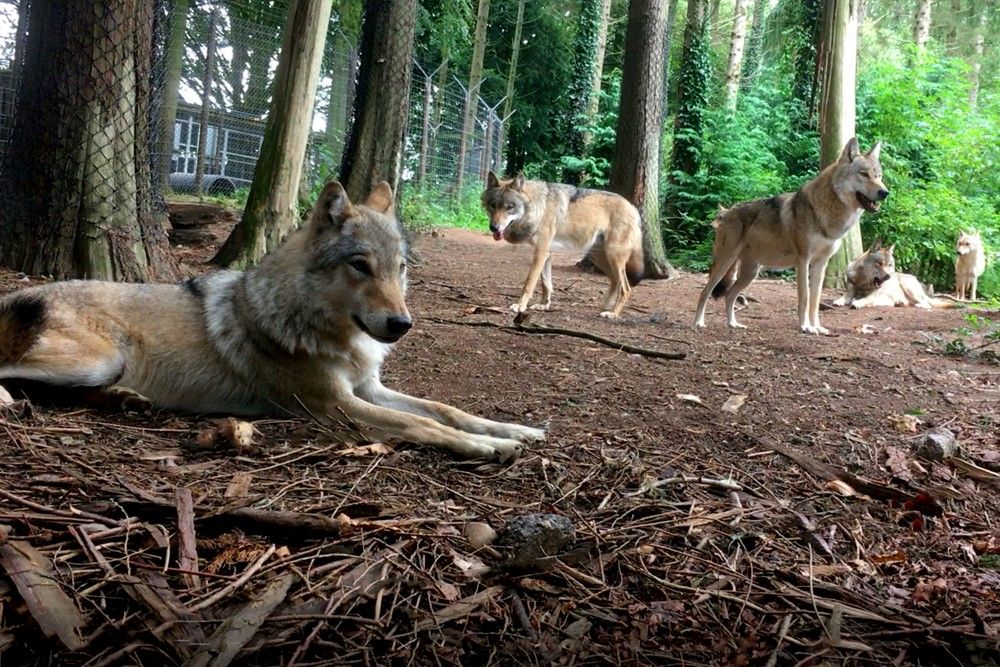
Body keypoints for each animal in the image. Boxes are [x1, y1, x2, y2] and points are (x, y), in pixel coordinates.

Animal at [0, 181, 545, 462]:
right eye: (360, 265)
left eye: (401, 268)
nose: (401, 324)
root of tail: (22, 292)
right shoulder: (336, 405)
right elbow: (421, 423)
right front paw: (487, 446)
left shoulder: (367, 388)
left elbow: (442, 407)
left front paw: (515, 431)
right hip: (95, 359)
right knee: (13, 376)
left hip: (98, 369)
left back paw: (124, 399)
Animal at [481, 172, 644, 318]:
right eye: (493, 206)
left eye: (509, 207)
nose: (493, 228)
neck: (538, 208)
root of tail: (633, 208)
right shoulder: (547, 253)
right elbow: (546, 284)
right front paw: (544, 305)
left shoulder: (540, 252)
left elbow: (529, 283)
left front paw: (520, 306)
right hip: (599, 258)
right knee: (615, 281)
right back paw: (606, 307)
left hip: (613, 258)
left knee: (626, 288)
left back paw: (613, 314)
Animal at [694, 138, 889, 334]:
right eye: (863, 174)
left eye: (879, 176)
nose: (885, 192)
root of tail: (725, 212)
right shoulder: (803, 260)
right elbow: (805, 297)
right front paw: (806, 327)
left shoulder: (821, 263)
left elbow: (816, 299)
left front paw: (817, 327)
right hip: (724, 264)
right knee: (705, 292)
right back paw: (698, 323)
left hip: (750, 273)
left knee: (730, 295)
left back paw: (733, 323)